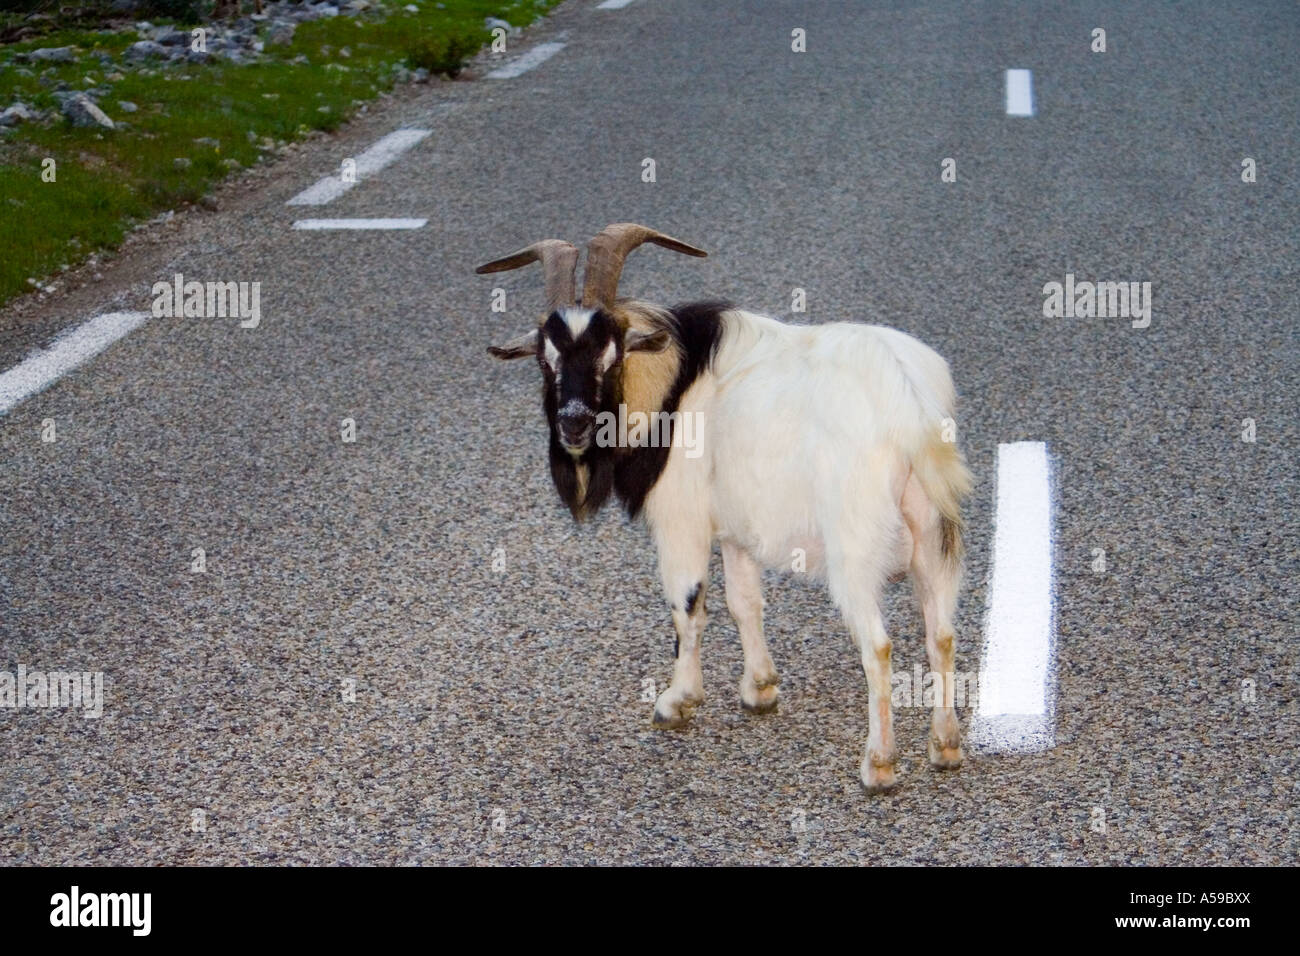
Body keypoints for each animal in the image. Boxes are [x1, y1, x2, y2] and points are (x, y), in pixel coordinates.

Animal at [479, 223, 973, 792]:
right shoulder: (738, 530)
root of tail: (909, 406)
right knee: (941, 633)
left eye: (613, 353)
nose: (574, 425)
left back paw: (879, 764)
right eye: (546, 359)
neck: (673, 386)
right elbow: (744, 602)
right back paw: (946, 746)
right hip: (935, 531)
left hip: (857, 547)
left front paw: (676, 701)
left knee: (879, 646)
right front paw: (760, 688)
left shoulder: (681, 521)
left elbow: (688, 605)